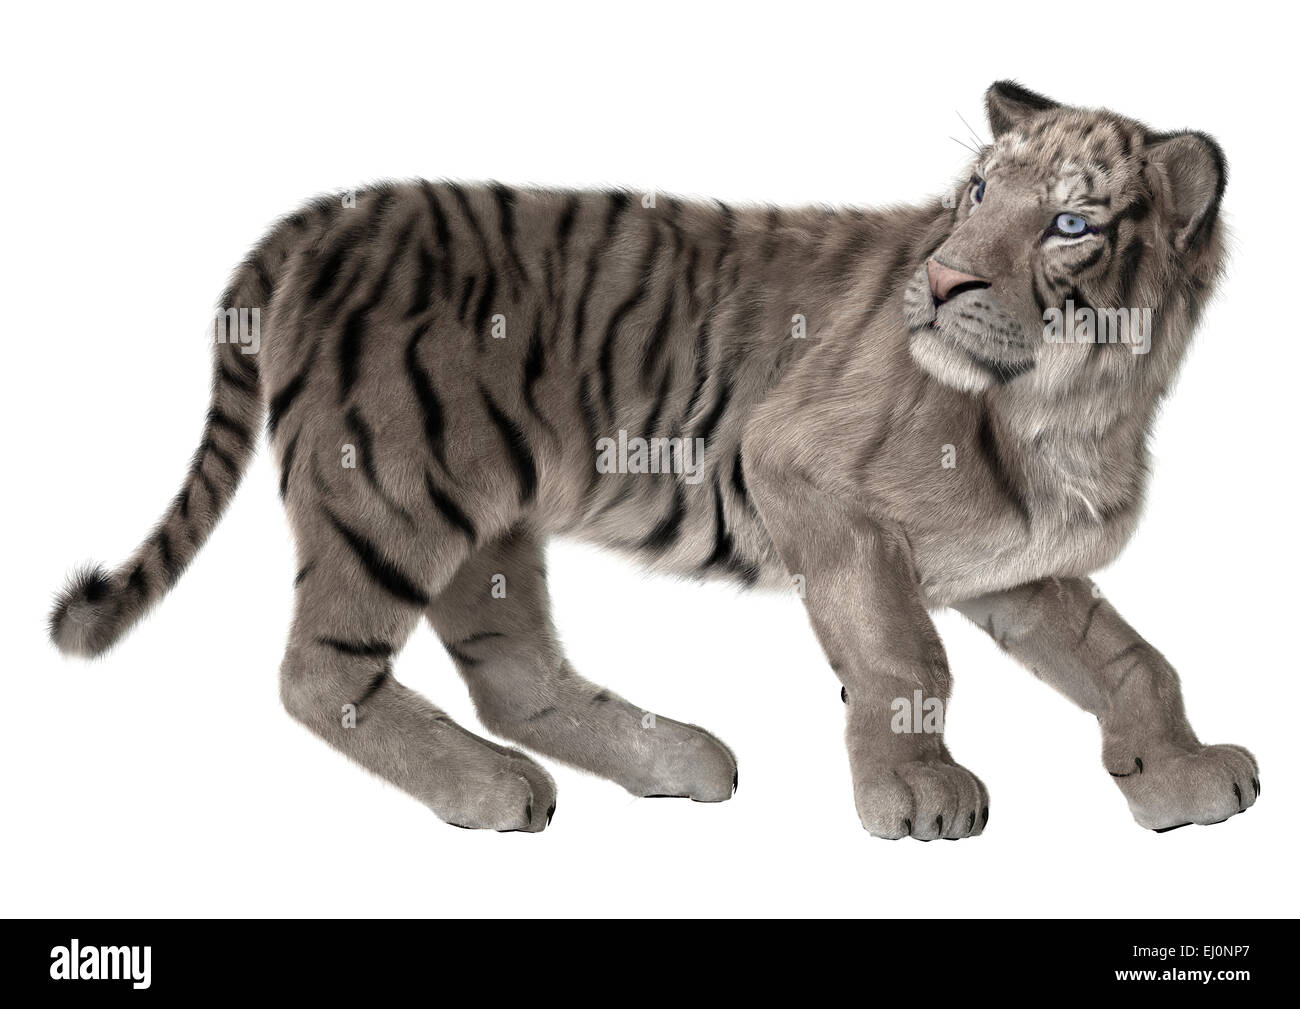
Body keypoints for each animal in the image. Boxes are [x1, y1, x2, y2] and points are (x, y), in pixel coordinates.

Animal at [48, 81, 1258, 839]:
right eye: (975, 194)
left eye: (1068, 224)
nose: (942, 277)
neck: (1074, 402)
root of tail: (332, 214)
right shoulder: (808, 479)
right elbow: (905, 663)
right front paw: (917, 797)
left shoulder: (1008, 565)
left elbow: (1133, 661)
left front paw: (1181, 779)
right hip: (386, 492)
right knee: (320, 671)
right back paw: (490, 785)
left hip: (485, 514)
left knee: (513, 671)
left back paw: (665, 760)